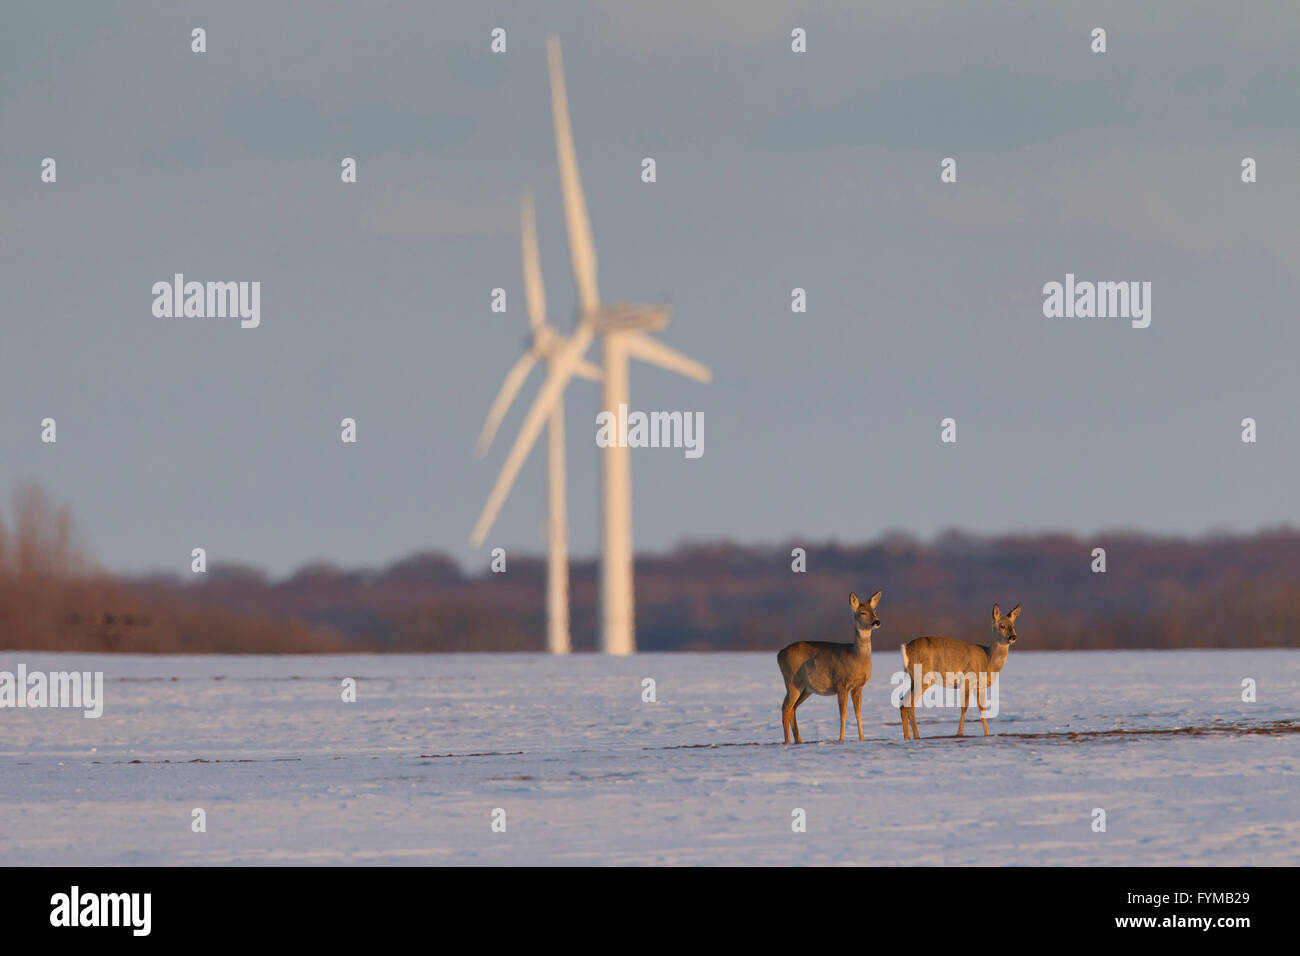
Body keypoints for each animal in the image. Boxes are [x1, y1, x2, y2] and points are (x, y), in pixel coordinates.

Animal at [777, 590, 881, 744]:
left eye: (874, 610)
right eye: (862, 612)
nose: (877, 621)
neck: (856, 657)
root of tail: (779, 654)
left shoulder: (858, 686)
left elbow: (858, 713)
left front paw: (862, 739)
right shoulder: (841, 683)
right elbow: (843, 713)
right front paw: (841, 739)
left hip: (806, 688)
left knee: (792, 708)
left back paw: (798, 740)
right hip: (791, 681)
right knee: (785, 707)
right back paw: (787, 741)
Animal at [898, 603, 1020, 739]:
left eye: (1013, 626)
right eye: (1002, 626)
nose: (1013, 637)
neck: (988, 661)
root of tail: (906, 648)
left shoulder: (979, 685)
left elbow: (982, 708)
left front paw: (987, 734)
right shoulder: (968, 679)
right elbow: (964, 707)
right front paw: (959, 734)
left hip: (914, 679)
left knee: (902, 703)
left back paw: (907, 737)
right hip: (924, 677)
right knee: (910, 705)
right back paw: (917, 736)